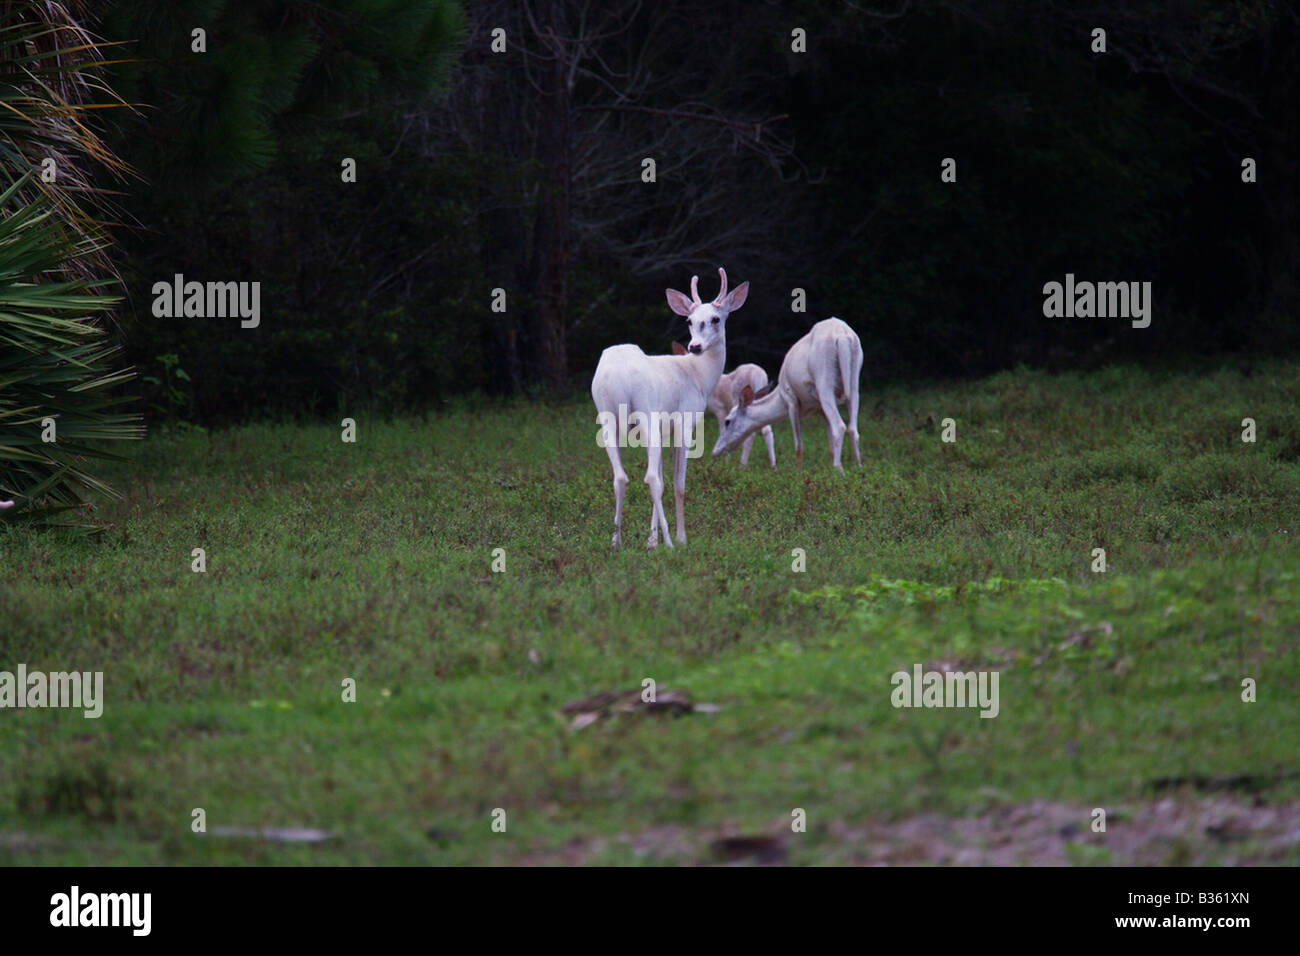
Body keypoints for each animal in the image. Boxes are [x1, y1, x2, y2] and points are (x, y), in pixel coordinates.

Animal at [592, 267, 750, 549]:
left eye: (716, 318)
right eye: (689, 320)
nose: (695, 346)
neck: (699, 376)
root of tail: (619, 373)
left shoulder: (664, 430)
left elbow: (665, 481)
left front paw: (651, 540)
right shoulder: (685, 423)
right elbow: (677, 484)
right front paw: (679, 537)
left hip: (607, 417)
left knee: (620, 477)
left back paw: (616, 541)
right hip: (646, 411)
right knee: (650, 478)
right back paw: (670, 543)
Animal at [712, 317, 862, 471]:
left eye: (727, 421)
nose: (715, 452)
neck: (780, 398)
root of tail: (842, 336)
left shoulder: (791, 400)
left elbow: (798, 446)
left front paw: (798, 472)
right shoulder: (819, 408)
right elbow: (830, 444)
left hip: (824, 380)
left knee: (839, 426)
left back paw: (839, 470)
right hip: (855, 379)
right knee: (852, 428)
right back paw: (859, 468)